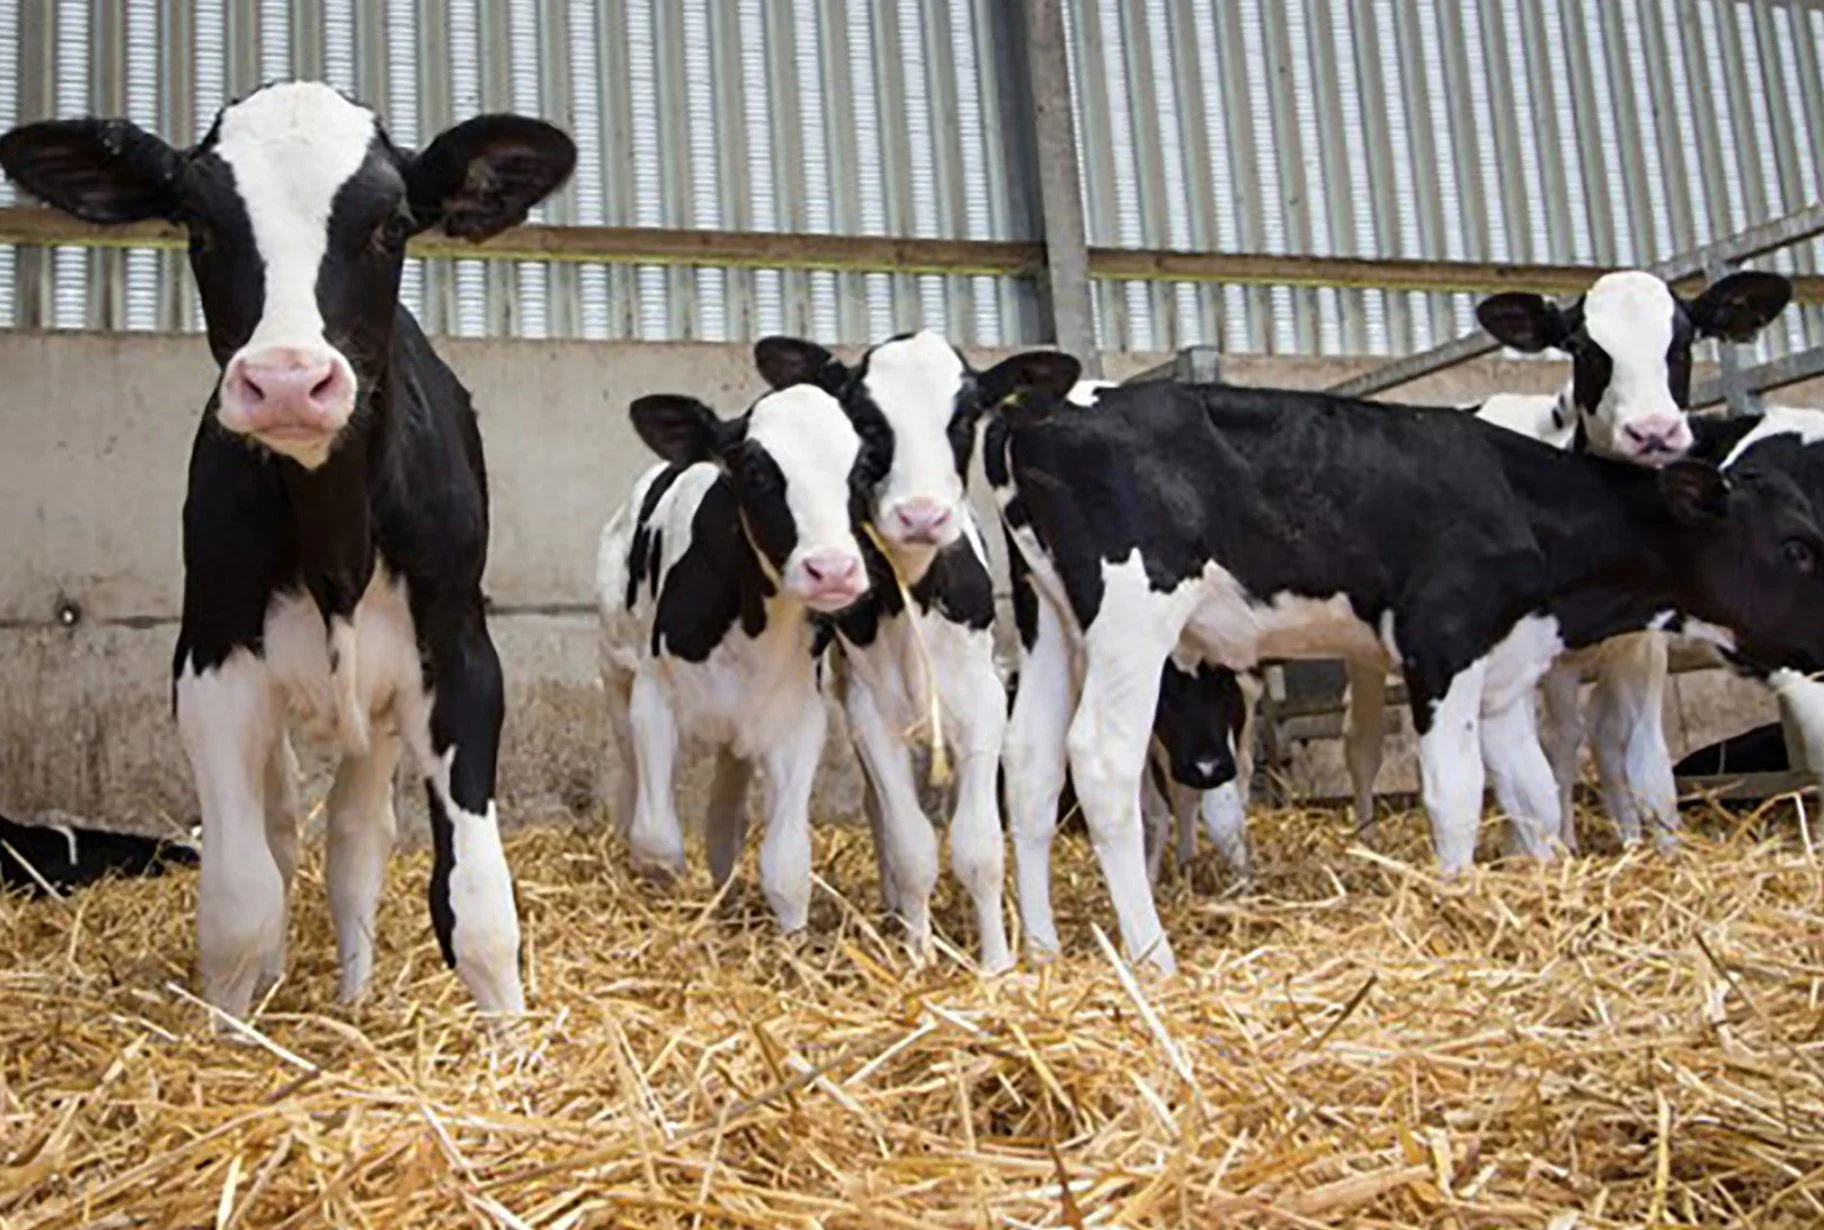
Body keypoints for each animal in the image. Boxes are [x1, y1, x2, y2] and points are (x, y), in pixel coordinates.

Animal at [0, 82, 577, 1017]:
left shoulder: (458, 655)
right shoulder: (212, 662)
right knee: (279, 829)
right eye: (199, 226)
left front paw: (510, 1037)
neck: (334, 542)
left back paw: (354, 995)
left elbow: (479, 905)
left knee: (356, 837)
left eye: (391, 225)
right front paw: (234, 1025)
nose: (286, 381)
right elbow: (240, 903)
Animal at [595, 384, 876, 939]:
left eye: (860, 469)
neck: (749, 623)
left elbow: (787, 863)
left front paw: (792, 942)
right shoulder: (653, 701)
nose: (833, 570)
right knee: (635, 779)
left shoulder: (798, 720)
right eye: (755, 471)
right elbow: (658, 839)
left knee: (725, 813)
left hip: (739, 732)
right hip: (616, 672)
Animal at [986, 374, 1824, 973]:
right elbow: (1454, 795)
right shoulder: (1440, 644)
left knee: (1029, 767)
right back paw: (1153, 955)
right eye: (1796, 547)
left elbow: (1532, 796)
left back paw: (1043, 952)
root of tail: (1045, 412)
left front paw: (1544, 886)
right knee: (1100, 760)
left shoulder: (1503, 675)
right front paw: (1457, 904)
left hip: (1046, 623)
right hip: (1132, 615)